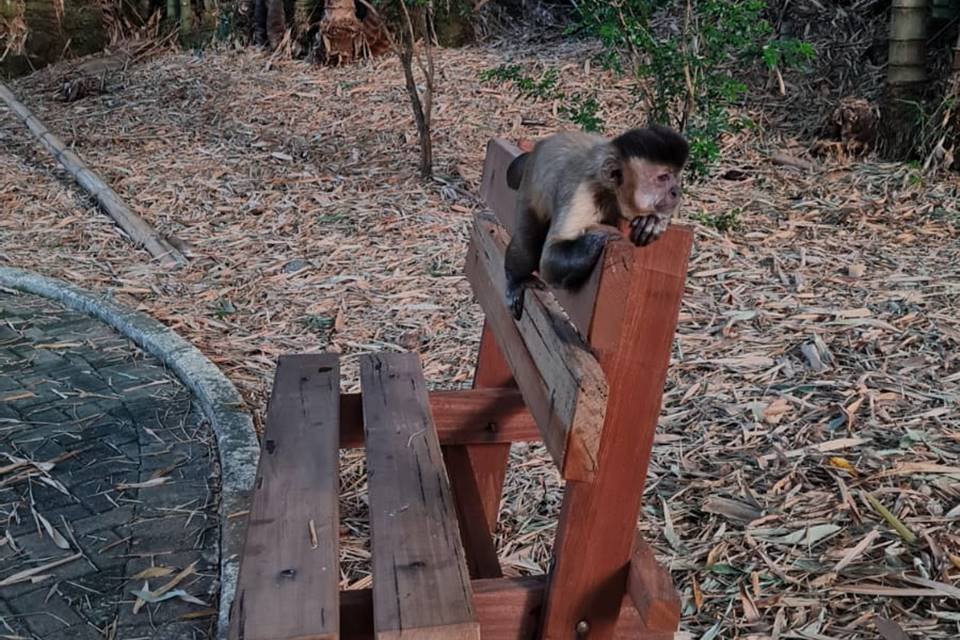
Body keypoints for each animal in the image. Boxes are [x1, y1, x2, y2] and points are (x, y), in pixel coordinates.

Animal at [503, 125, 688, 320]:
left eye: (675, 178)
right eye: (663, 178)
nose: (676, 191)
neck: (611, 193)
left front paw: (653, 221)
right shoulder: (583, 190)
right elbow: (549, 261)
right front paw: (604, 236)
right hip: (529, 186)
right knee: (528, 245)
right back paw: (516, 280)